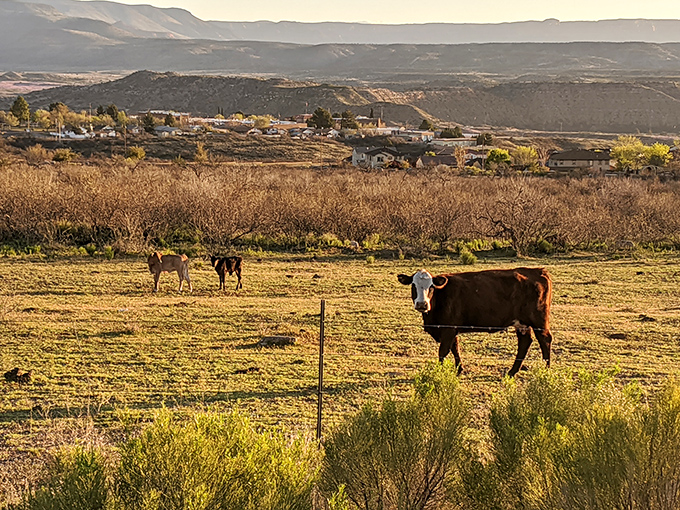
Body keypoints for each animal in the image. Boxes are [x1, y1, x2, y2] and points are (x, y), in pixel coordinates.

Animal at [397, 267, 553, 376]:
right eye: (413, 285)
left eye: (431, 287)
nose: (422, 304)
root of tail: (539, 271)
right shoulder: (452, 329)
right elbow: (455, 348)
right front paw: (459, 369)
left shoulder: (448, 329)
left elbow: (443, 351)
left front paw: (439, 372)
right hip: (522, 323)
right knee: (525, 343)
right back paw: (512, 371)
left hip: (539, 321)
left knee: (545, 340)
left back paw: (546, 369)